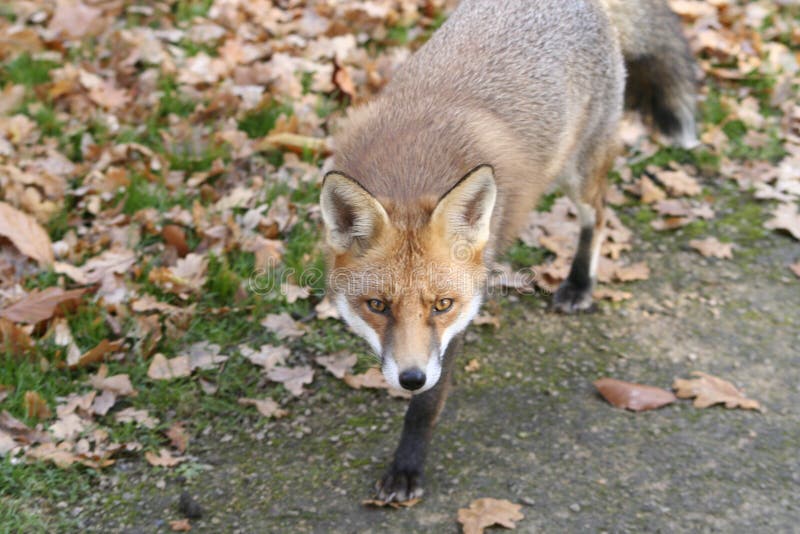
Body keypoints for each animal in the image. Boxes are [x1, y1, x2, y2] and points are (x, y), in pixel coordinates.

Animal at [320, 0, 697, 502]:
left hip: (578, 173)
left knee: (598, 216)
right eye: (377, 306)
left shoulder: (455, 327)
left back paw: (579, 284)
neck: (411, 171)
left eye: (442, 304)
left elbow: (426, 407)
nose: (410, 378)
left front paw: (406, 468)